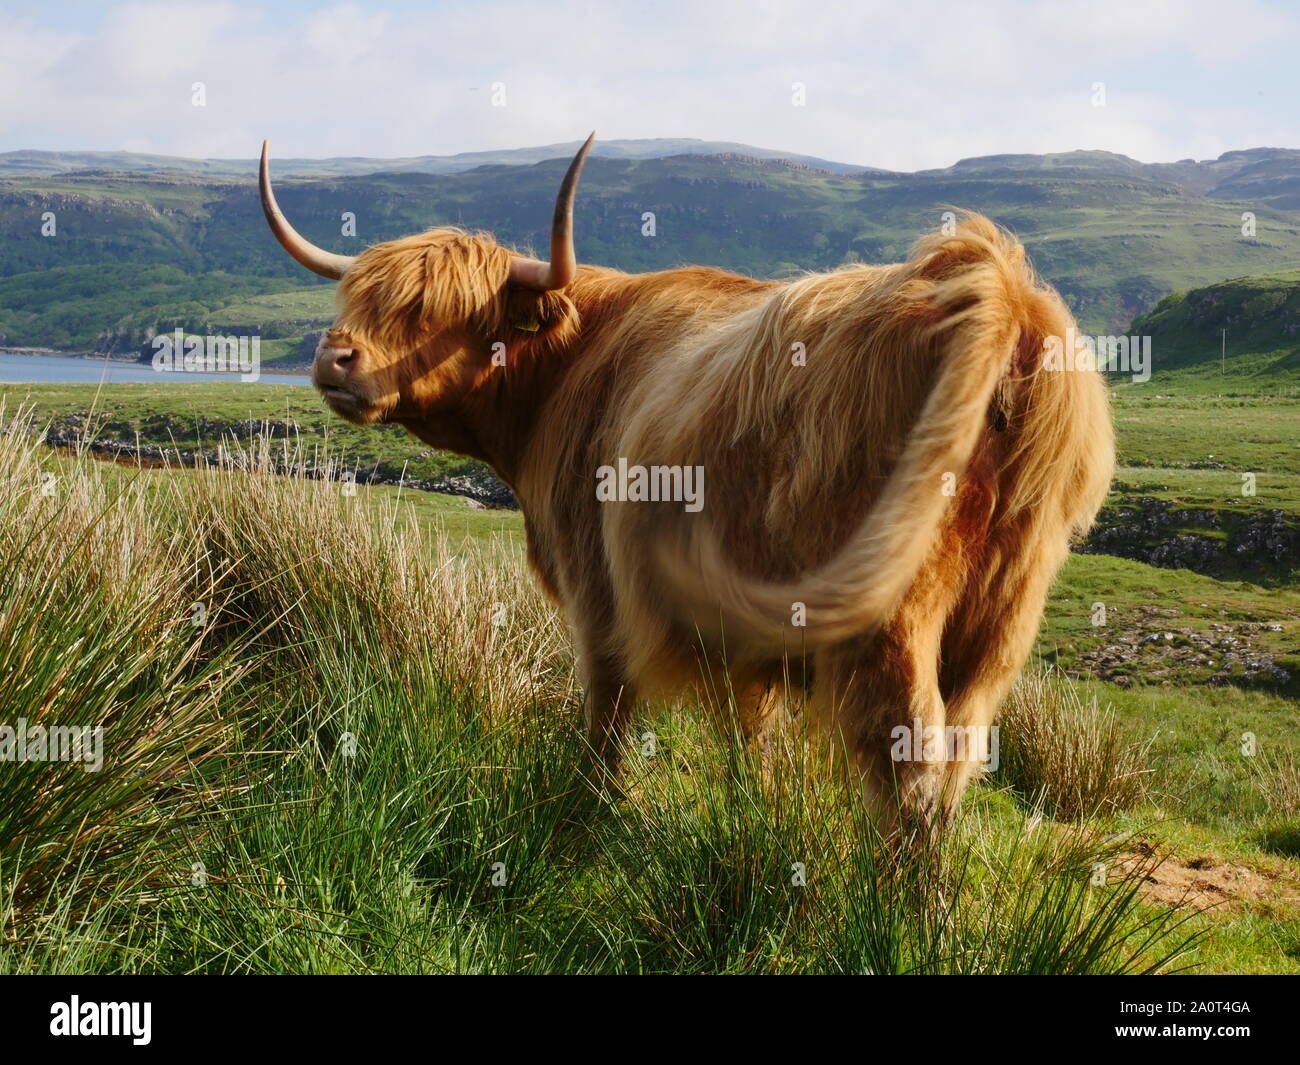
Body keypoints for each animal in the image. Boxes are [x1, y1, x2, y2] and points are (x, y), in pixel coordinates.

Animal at [259, 134, 1114, 830]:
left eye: (440, 310)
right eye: (358, 295)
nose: (333, 358)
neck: (565, 367)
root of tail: (996, 294)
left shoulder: (597, 587)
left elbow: (607, 710)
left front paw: (592, 815)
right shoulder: (744, 649)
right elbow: (749, 739)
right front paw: (751, 822)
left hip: (892, 614)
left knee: (910, 765)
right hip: (1002, 618)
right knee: (960, 758)